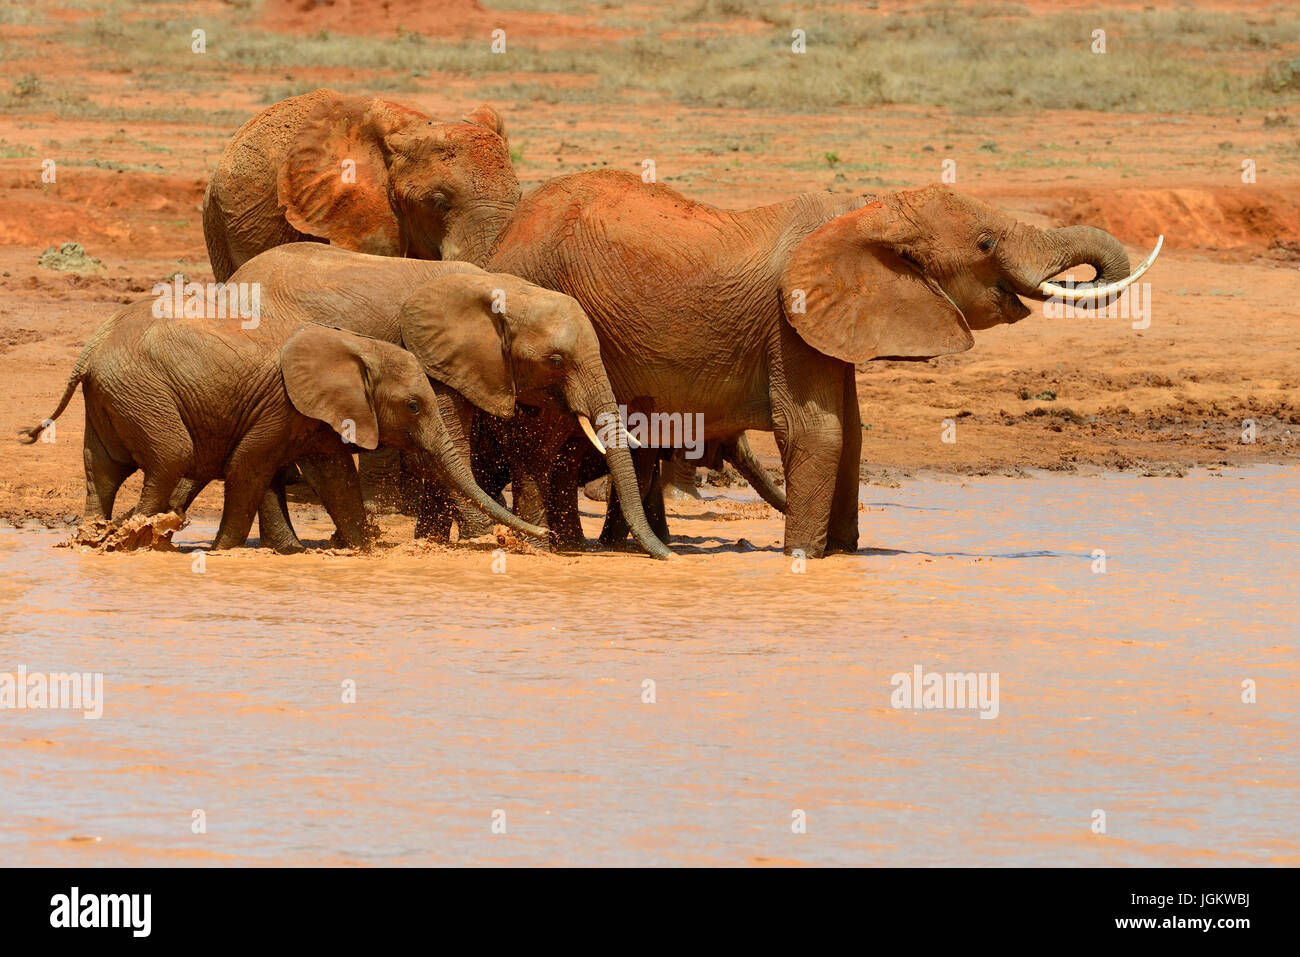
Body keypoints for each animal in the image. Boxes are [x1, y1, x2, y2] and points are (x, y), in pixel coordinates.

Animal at [18, 303, 546, 550]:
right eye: (414, 406)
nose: (538, 537)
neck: (358, 346)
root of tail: (88, 351)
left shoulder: (313, 415)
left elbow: (336, 478)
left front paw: (357, 550)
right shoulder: (280, 405)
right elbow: (248, 468)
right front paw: (225, 552)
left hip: (113, 395)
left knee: (100, 470)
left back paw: (95, 539)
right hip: (139, 391)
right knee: (170, 457)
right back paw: (137, 540)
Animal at [174, 243, 673, 560]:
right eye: (556, 360)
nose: (669, 558)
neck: (505, 289)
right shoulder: (432, 358)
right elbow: (451, 443)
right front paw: (483, 540)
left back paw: (294, 547)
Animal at [487, 170, 1160, 557]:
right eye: (986, 243)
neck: (866, 210)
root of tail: (508, 231)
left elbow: (854, 435)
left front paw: (842, 557)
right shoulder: (789, 321)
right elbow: (819, 432)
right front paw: (805, 560)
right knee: (543, 438)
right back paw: (549, 547)